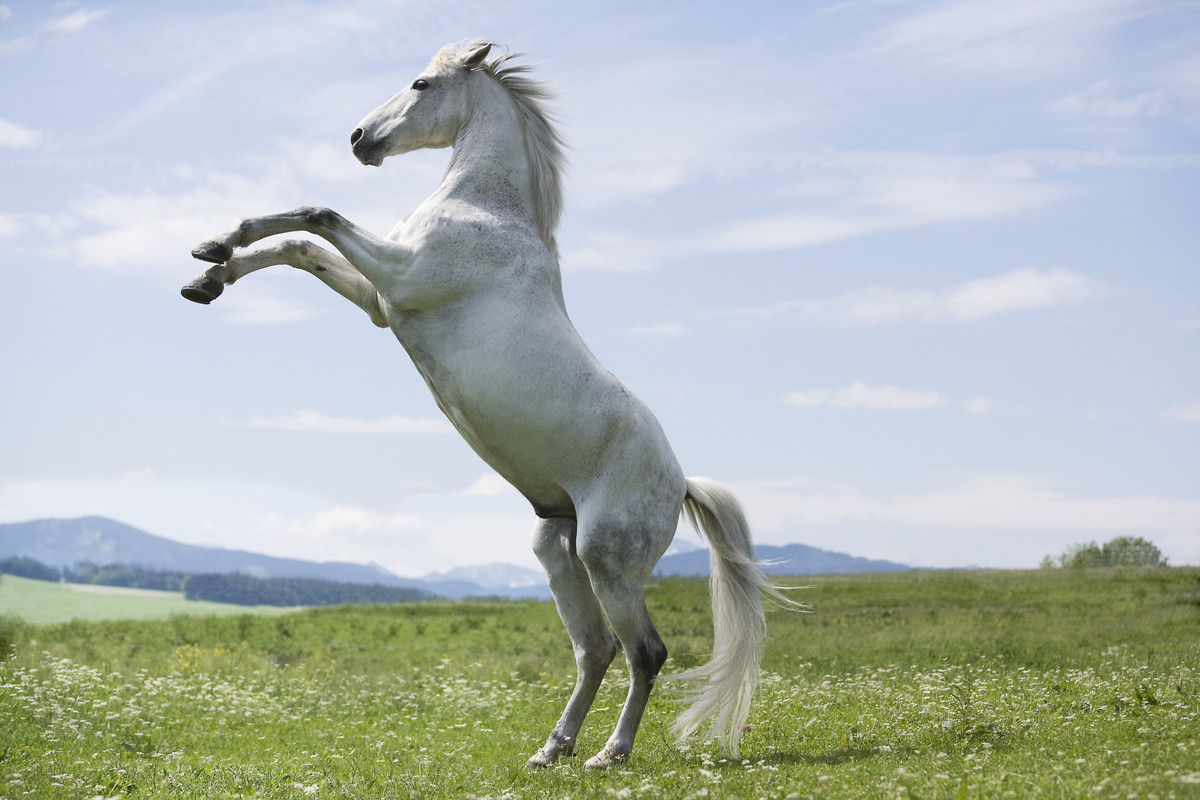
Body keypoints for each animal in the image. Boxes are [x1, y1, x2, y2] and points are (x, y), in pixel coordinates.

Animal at [182, 39, 794, 769]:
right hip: (558, 550)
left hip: (608, 562)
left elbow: (316, 217)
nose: (359, 139)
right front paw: (208, 269)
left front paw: (216, 250)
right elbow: (299, 246)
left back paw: (608, 753)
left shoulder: (401, 275)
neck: (485, 209)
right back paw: (551, 750)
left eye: (421, 83)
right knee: (595, 649)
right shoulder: (381, 301)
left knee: (645, 652)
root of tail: (681, 483)